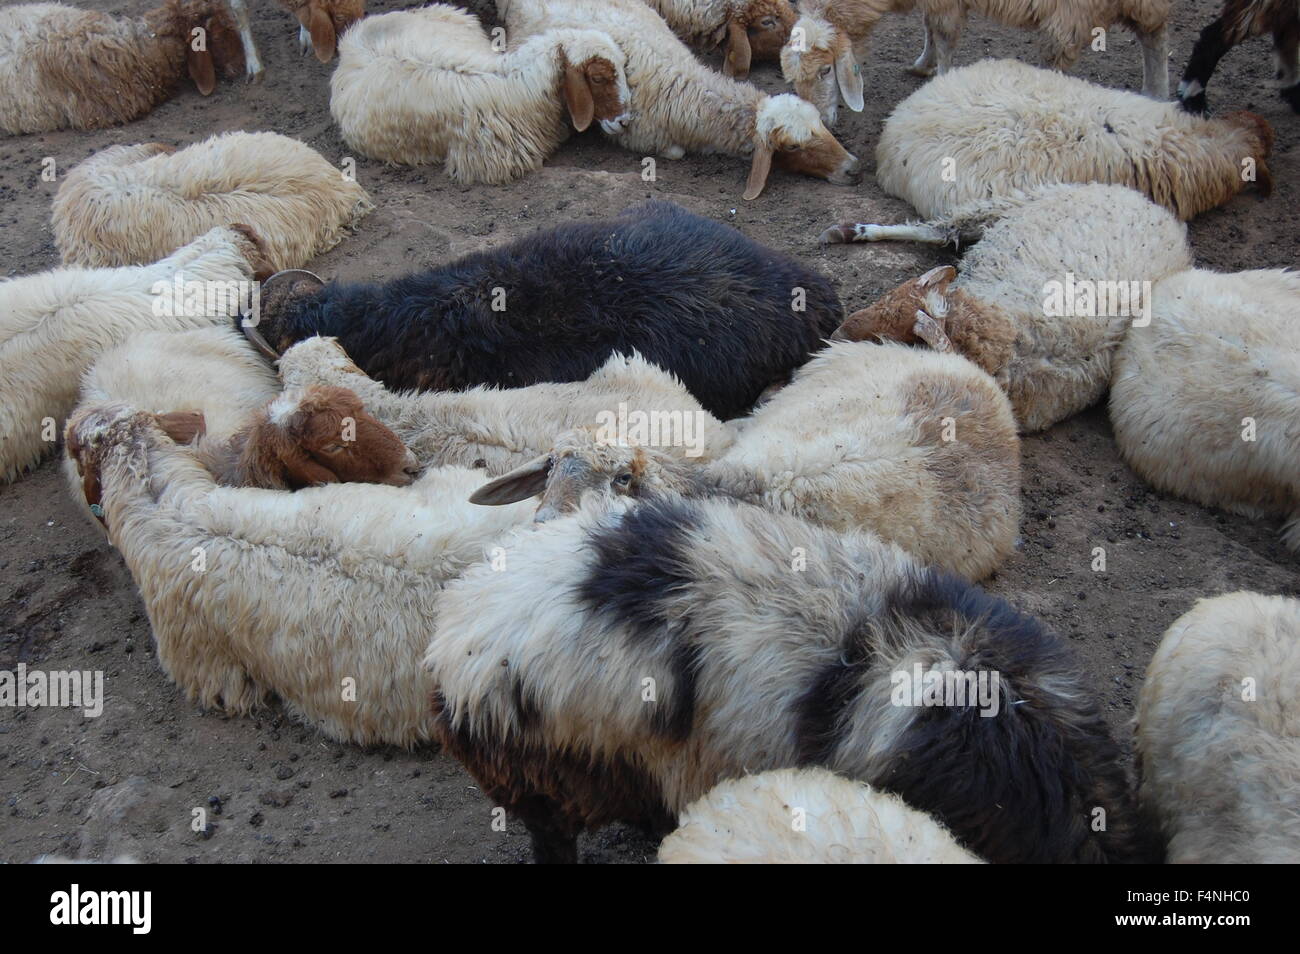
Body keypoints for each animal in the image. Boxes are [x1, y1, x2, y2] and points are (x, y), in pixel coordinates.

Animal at [781, 0, 1170, 125]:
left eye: (826, 70)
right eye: (794, 82)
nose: (822, 122)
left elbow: (944, 37)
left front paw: (939, 77)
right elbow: (927, 27)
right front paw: (922, 63)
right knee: (1154, 37)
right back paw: (1155, 93)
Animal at [825, 184, 1194, 434]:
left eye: (894, 338)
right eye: (885, 298)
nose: (836, 334)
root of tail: (1148, 202)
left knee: (944, 230)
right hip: (1021, 199)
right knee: (943, 228)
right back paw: (851, 231)